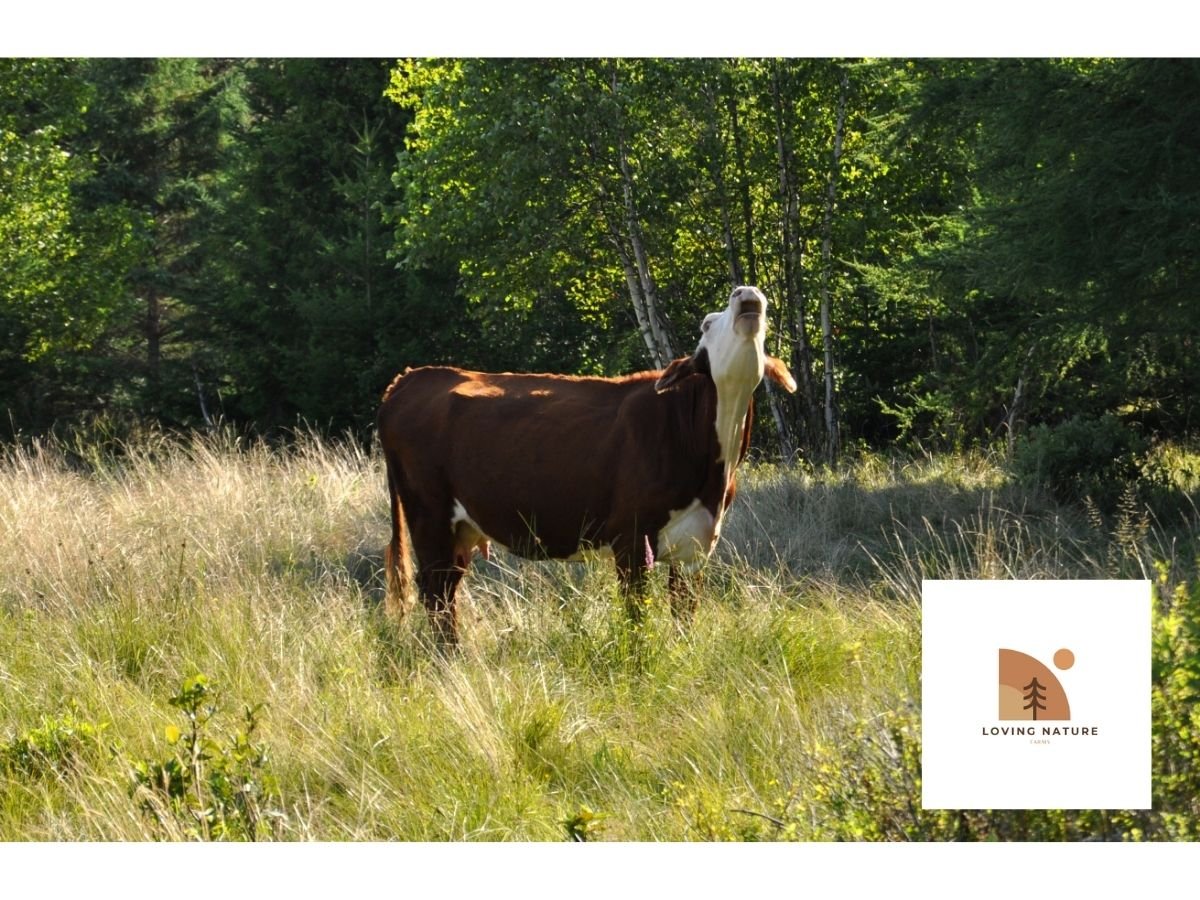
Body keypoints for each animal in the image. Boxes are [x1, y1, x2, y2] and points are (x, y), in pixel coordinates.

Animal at [376, 285, 797, 645]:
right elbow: (636, 616)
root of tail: (413, 377)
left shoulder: (696, 545)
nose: (746, 293)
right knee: (435, 592)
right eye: (707, 324)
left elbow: (684, 614)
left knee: (447, 590)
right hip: (429, 515)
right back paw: (448, 657)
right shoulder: (630, 537)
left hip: (460, 528)